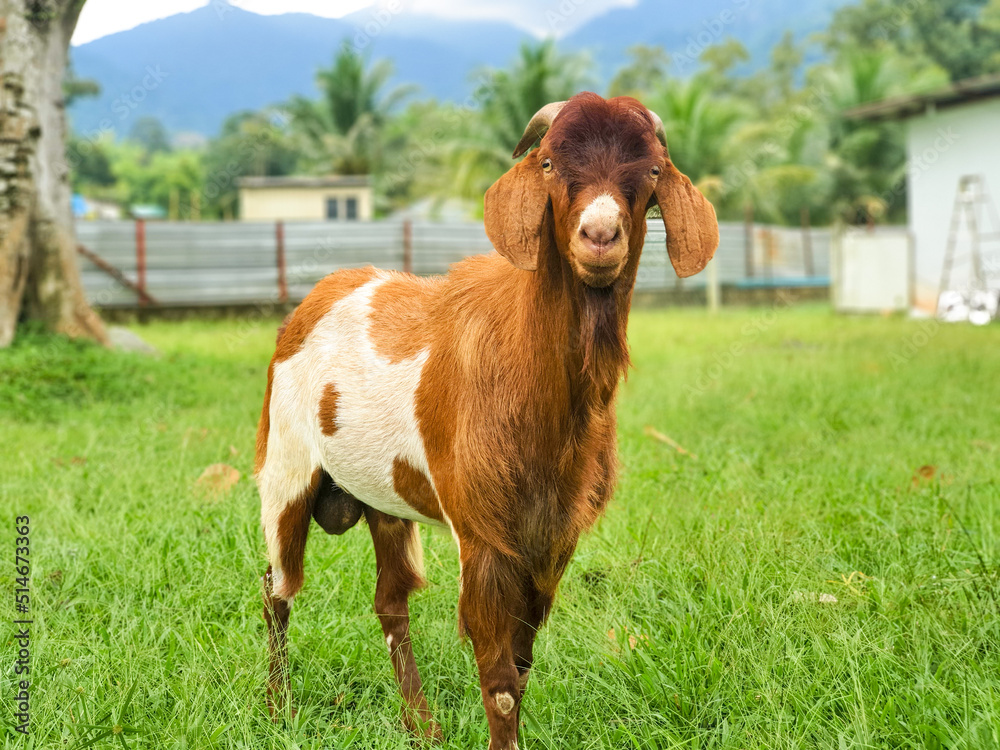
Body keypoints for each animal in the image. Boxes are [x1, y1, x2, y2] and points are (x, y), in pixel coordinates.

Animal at [256, 92, 719, 749]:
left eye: (652, 171)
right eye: (548, 163)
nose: (599, 235)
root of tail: (320, 294)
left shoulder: (552, 538)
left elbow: (521, 668)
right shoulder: (483, 534)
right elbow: (499, 679)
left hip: (384, 498)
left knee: (389, 600)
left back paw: (421, 725)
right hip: (285, 465)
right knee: (278, 588)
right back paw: (277, 710)